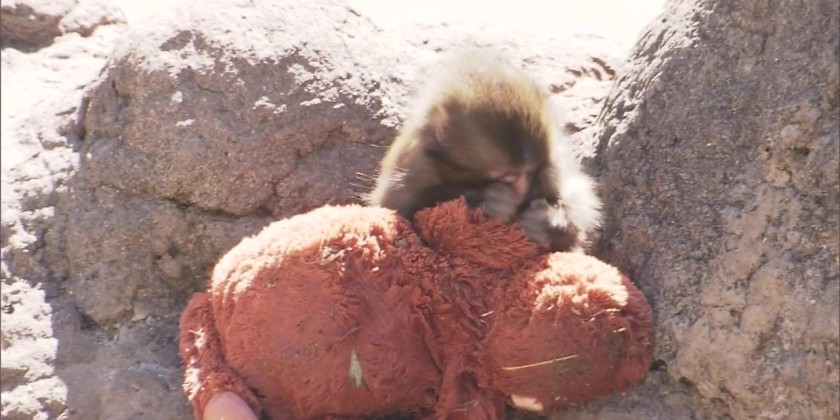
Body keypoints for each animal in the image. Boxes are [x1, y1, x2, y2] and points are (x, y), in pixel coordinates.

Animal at [366, 50, 601, 252]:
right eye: (506, 176)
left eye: (530, 172)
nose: (521, 191)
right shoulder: (416, 162)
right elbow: (394, 208)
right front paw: (488, 197)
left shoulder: (555, 157)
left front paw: (547, 222)